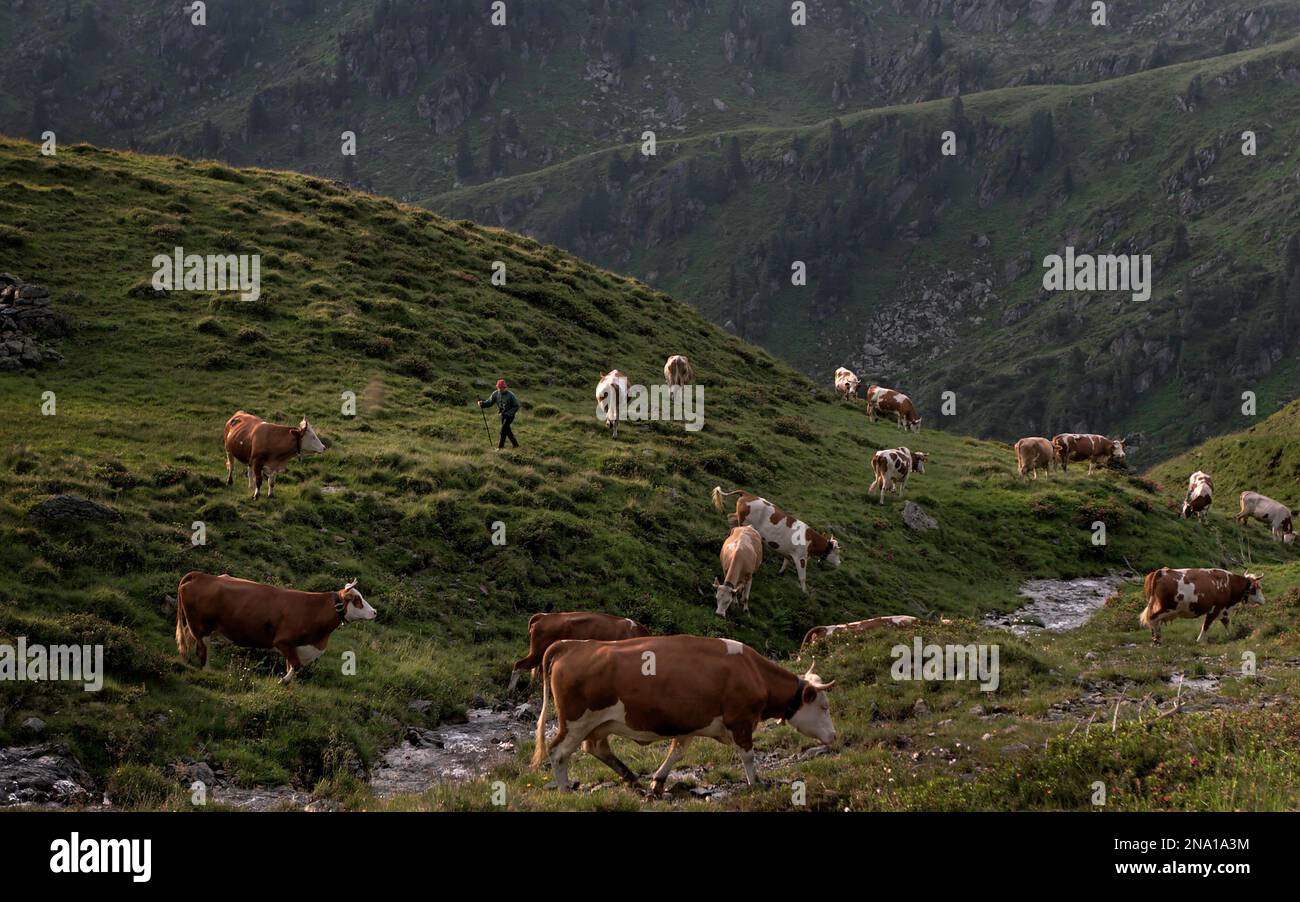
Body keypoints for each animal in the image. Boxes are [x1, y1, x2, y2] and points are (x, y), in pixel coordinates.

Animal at [175, 571, 376, 682]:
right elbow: (295, 665)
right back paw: (207, 670)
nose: (374, 612)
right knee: (202, 650)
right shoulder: (283, 641)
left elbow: (291, 665)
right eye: (357, 600)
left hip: (197, 627)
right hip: (201, 627)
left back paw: (185, 658)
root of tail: (199, 575)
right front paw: (283, 681)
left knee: (188, 639)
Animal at [531, 635, 836, 793]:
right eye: (824, 706)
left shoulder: (688, 723)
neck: (753, 671)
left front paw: (658, 781)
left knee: (596, 747)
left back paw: (632, 778)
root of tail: (572, 644)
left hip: (600, 723)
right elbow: (748, 756)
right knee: (559, 753)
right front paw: (756, 783)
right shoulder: (739, 720)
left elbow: (676, 753)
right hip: (575, 721)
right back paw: (565, 790)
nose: (834, 736)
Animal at [711, 486, 841, 594]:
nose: (839, 562)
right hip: (744, 522)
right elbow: (802, 577)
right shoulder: (801, 558)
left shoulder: (789, 553)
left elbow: (785, 563)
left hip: (738, 517)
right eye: (836, 552)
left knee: (730, 517)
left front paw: (780, 573)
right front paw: (805, 592)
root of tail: (748, 494)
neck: (810, 540)